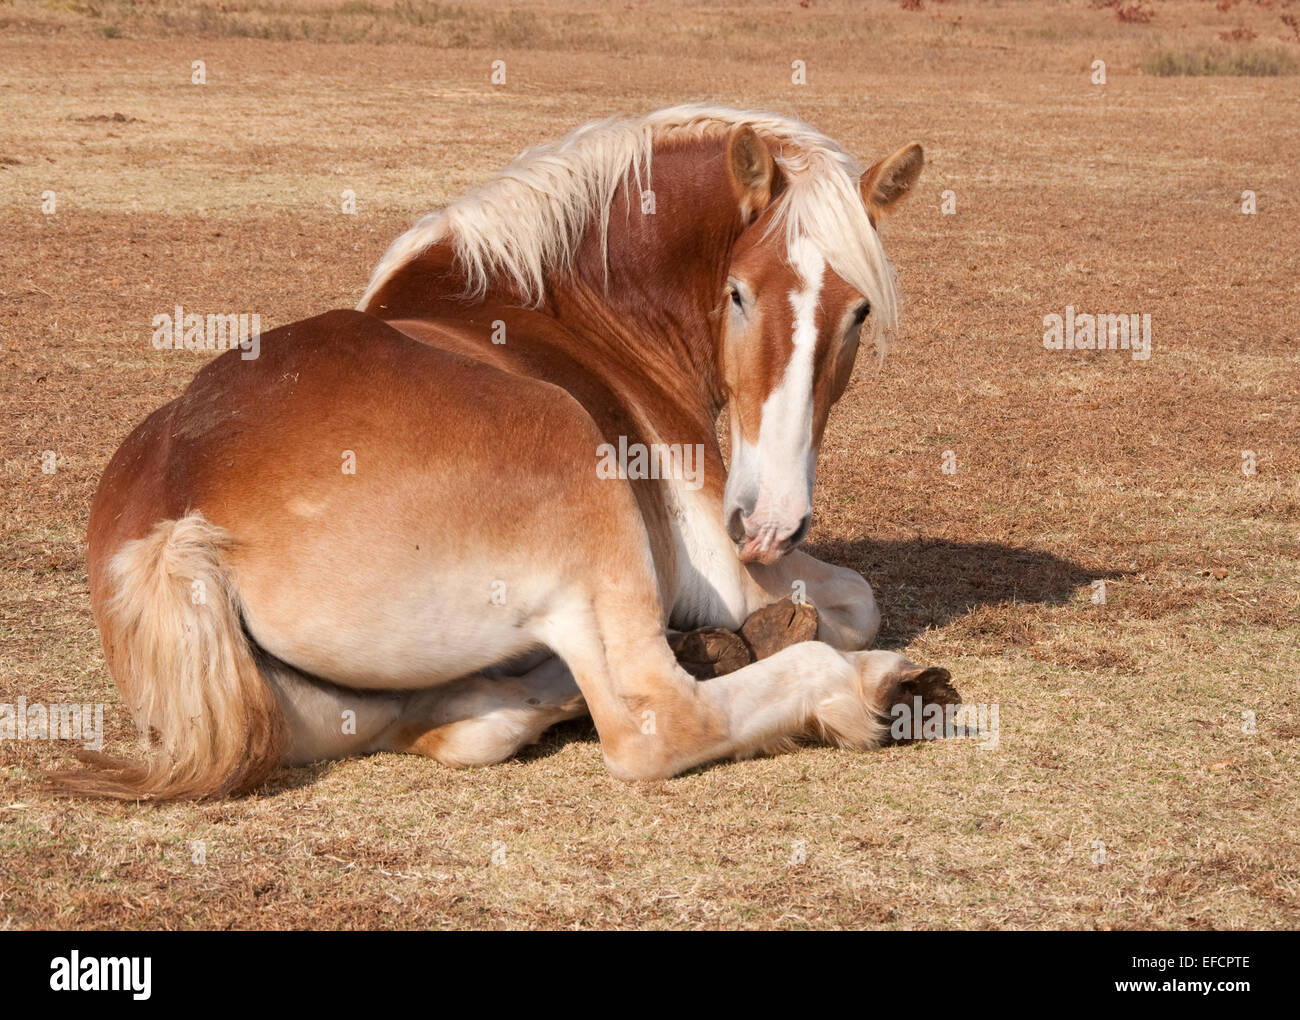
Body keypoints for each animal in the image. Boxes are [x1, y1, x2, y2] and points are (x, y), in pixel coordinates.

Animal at [55, 104, 958, 800]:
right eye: (737, 293)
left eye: (859, 311)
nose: (769, 522)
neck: (569, 304)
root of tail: (182, 530)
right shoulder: (726, 570)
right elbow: (855, 601)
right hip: (579, 481)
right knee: (656, 719)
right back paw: (871, 687)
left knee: (464, 725)